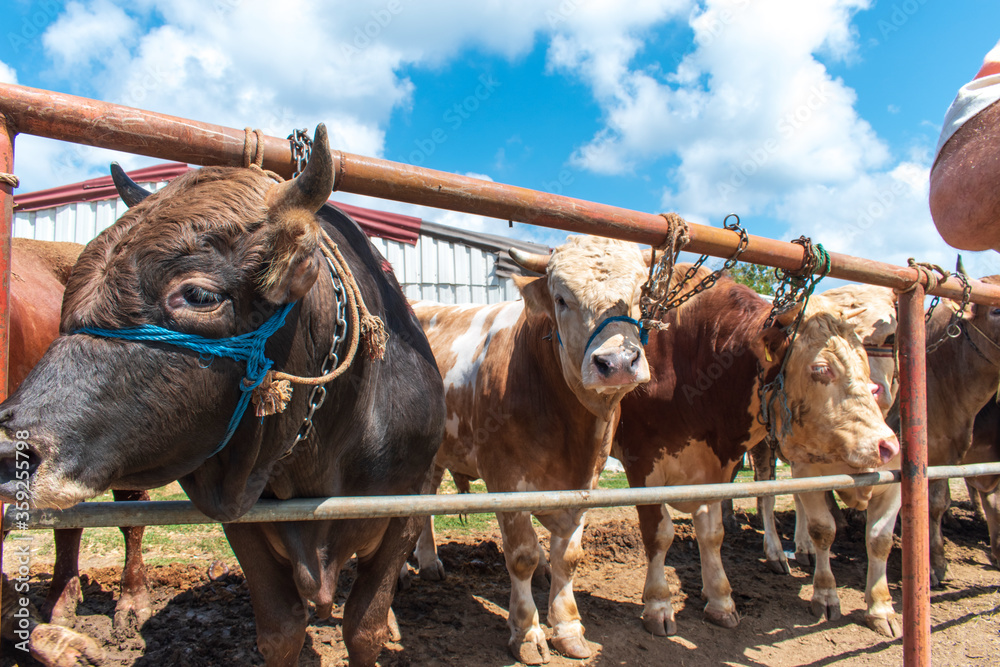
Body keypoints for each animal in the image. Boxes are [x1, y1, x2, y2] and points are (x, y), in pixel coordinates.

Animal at [0, 125, 446, 667]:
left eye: (199, 296)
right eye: (69, 295)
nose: (10, 449)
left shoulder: (408, 503)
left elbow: (365, 626)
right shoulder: (243, 521)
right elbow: (281, 629)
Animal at [408, 236, 651, 664]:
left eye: (641, 293)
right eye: (561, 299)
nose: (618, 362)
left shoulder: (585, 484)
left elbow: (567, 557)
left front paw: (568, 628)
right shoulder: (505, 478)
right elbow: (521, 555)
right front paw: (527, 632)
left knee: (428, 495)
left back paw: (428, 559)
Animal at [613, 266, 899, 638]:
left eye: (865, 366)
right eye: (821, 368)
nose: (887, 445)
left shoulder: (713, 467)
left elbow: (712, 534)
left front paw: (720, 600)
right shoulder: (642, 462)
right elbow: (659, 535)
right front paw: (659, 605)